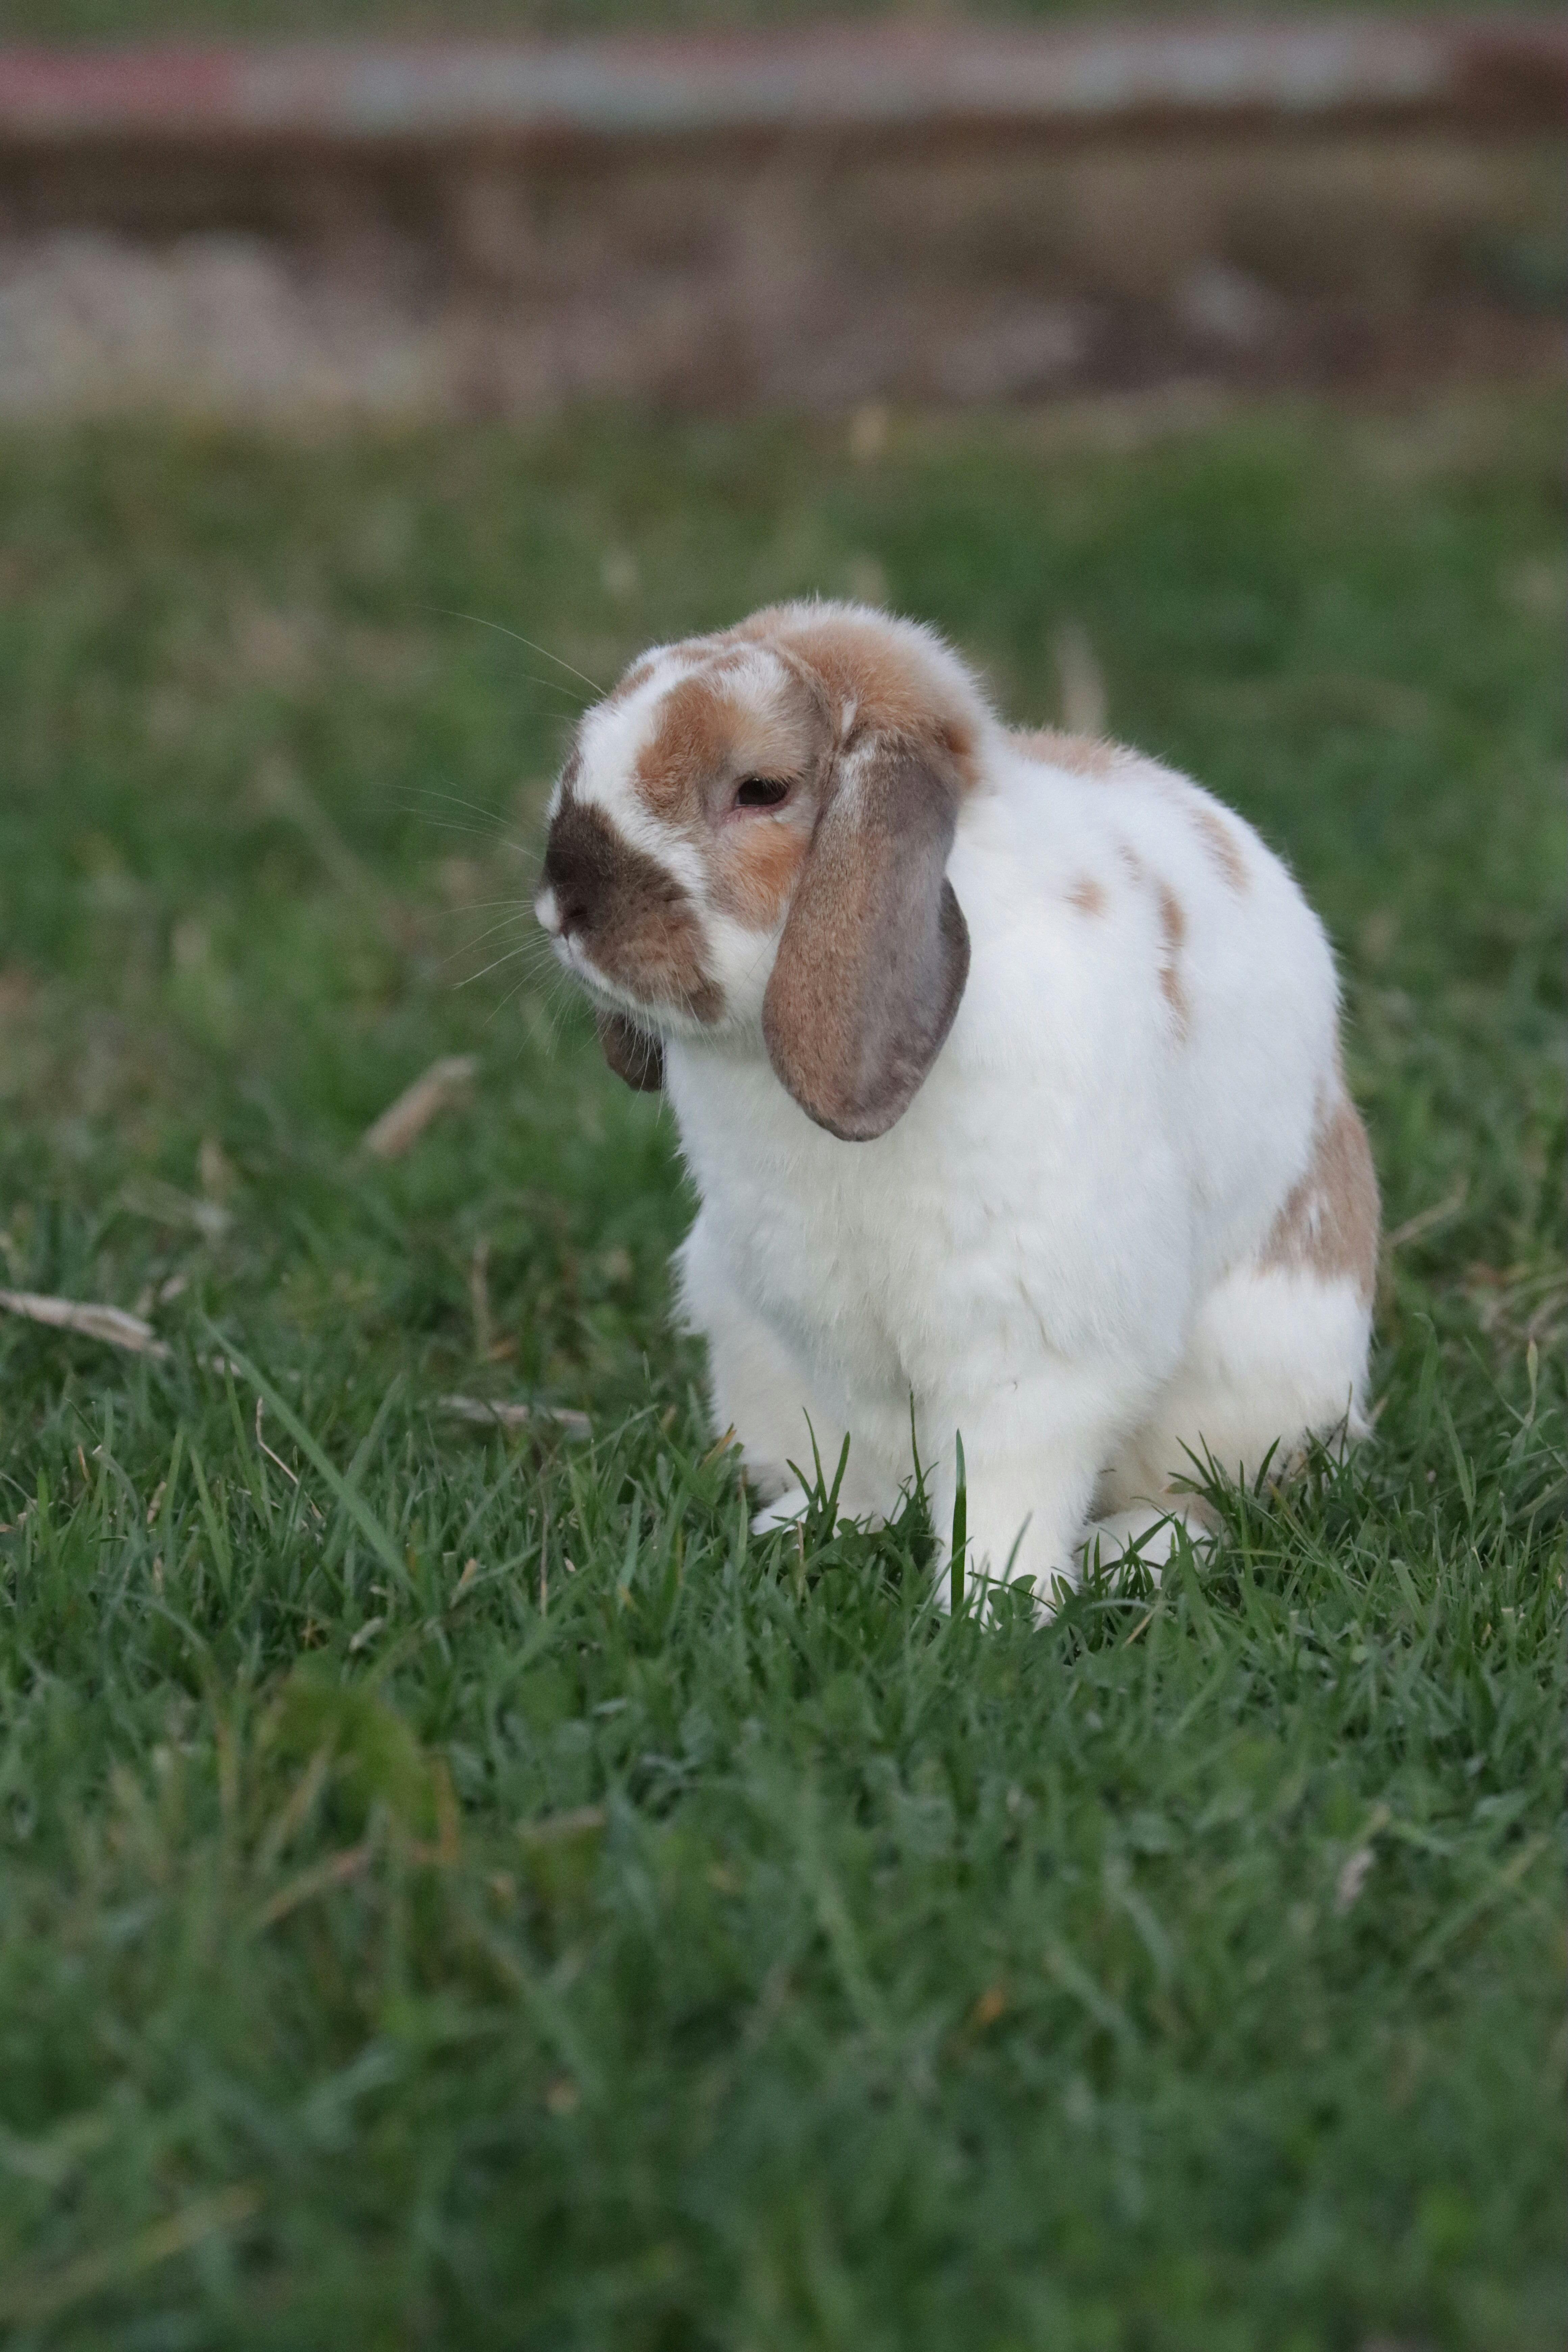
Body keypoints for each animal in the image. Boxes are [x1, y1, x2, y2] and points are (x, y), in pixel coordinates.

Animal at [535, 600, 1378, 1612]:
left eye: (759, 789)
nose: (566, 897)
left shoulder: (1032, 1341)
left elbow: (1006, 1484)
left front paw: (988, 1611)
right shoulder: (831, 1324)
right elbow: (878, 1452)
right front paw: (849, 1528)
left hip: (1245, 1395)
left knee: (1219, 1504)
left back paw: (1131, 1552)